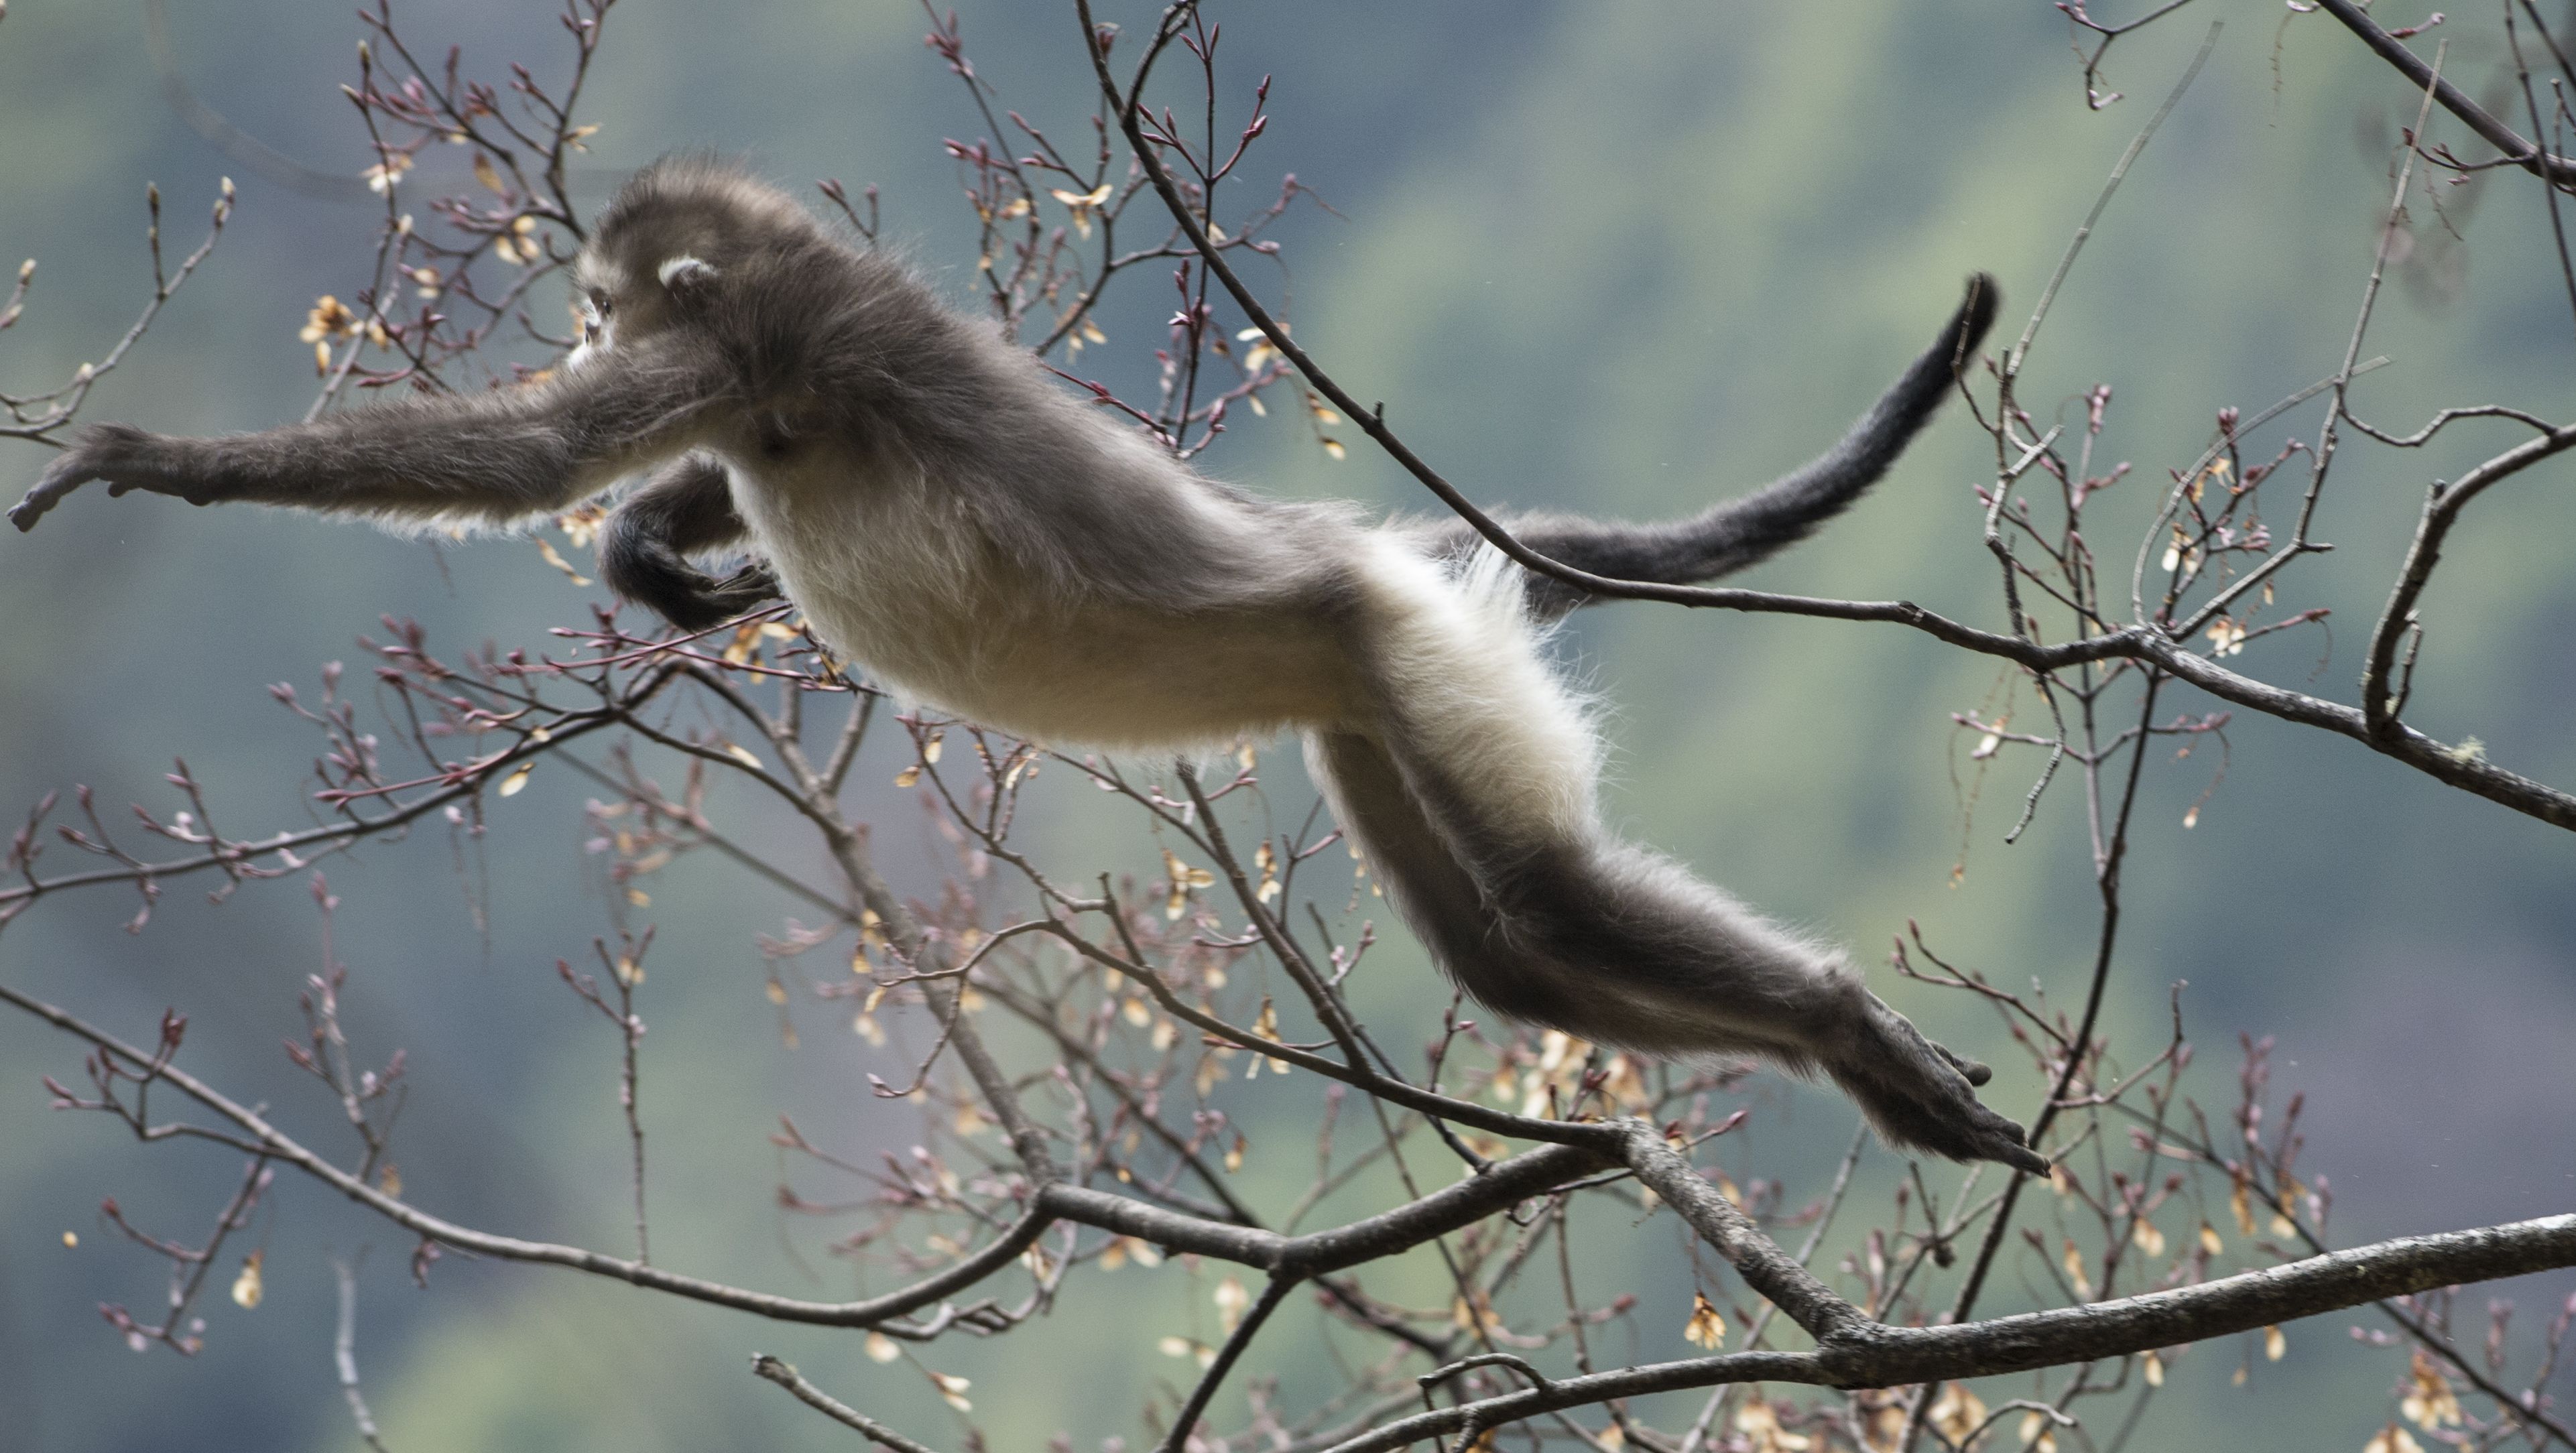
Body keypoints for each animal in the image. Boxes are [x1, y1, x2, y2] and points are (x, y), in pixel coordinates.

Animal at [9, 158, 2044, 1173]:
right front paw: (650, 547)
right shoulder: (750, 371)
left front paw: (151, 461)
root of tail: (1381, 556)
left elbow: (527, 459)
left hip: (1396, 647)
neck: (784, 321)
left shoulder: (762, 349)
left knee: (1542, 901)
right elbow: (614, 480)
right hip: (1369, 686)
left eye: (592, 304)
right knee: (1515, 955)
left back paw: (1837, 1024)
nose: (577, 327)